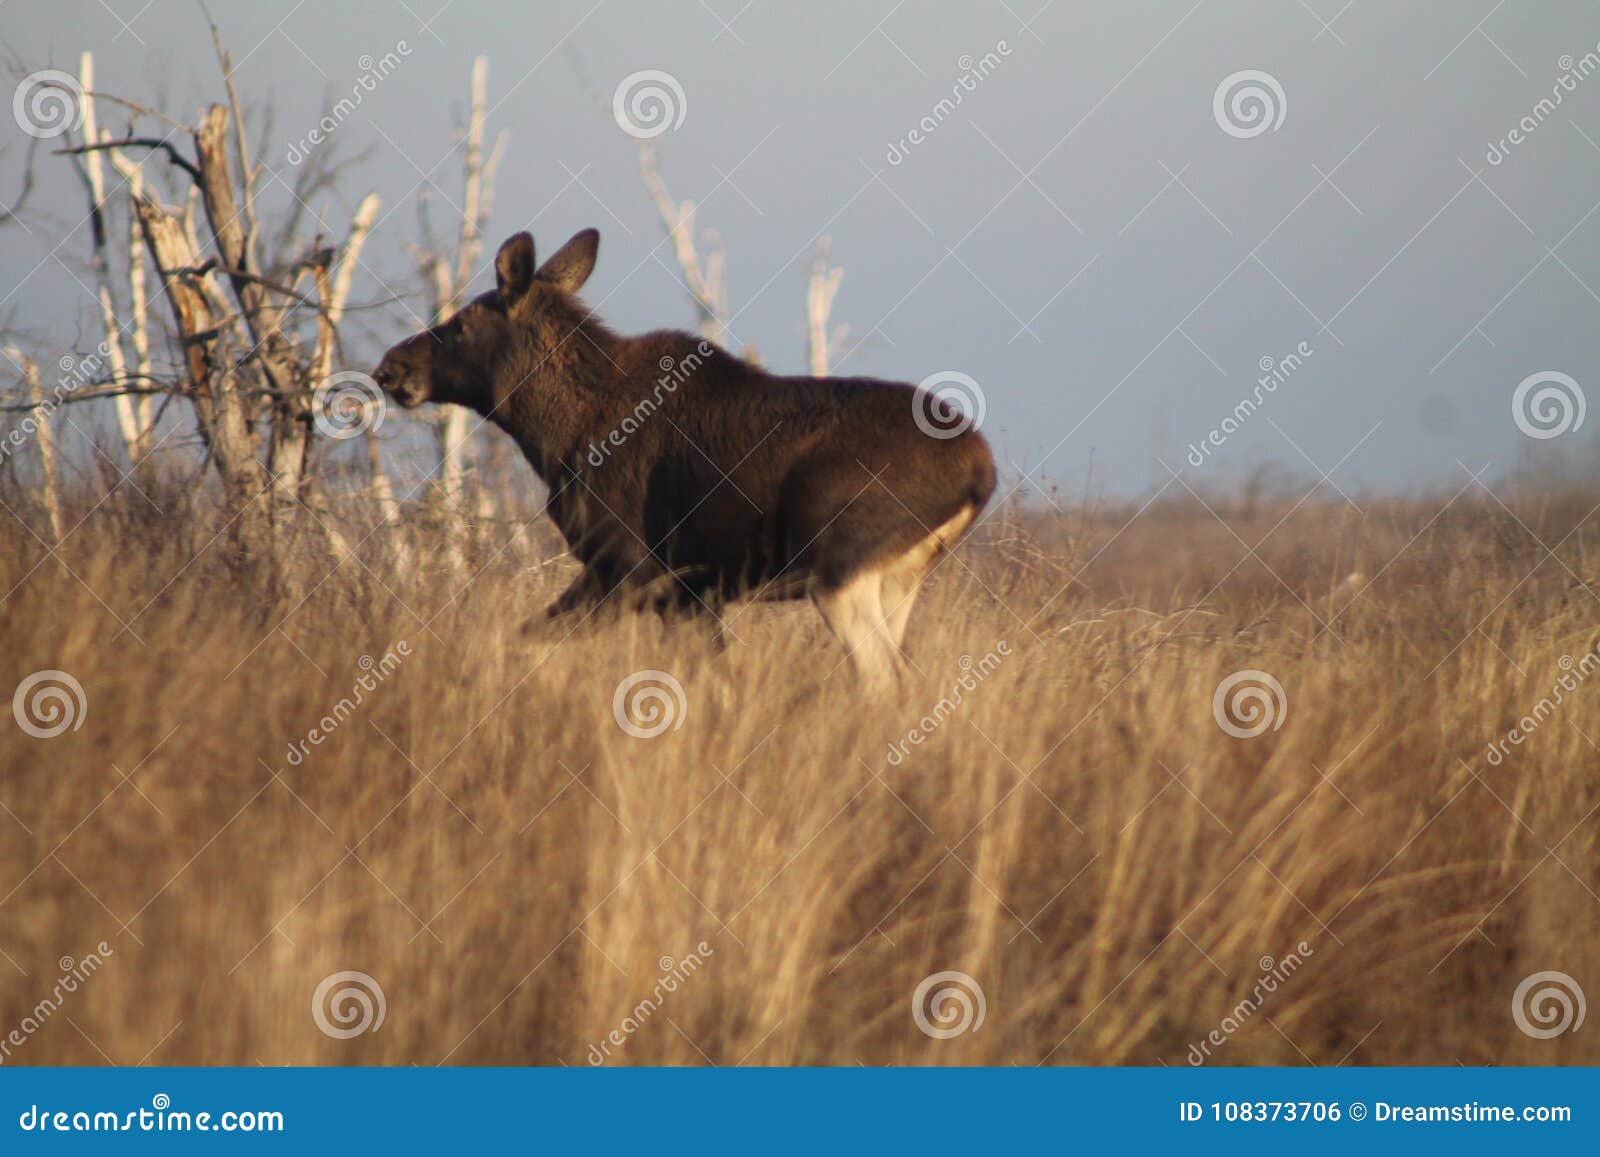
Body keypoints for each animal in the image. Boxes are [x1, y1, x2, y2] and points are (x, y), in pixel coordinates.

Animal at [372, 228, 996, 687]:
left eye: (460, 325)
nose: (389, 367)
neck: (551, 434)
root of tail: (983, 472)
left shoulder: (629, 567)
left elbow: (527, 640)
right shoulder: (691, 593)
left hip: (837, 569)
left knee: (885, 679)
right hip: (897, 578)